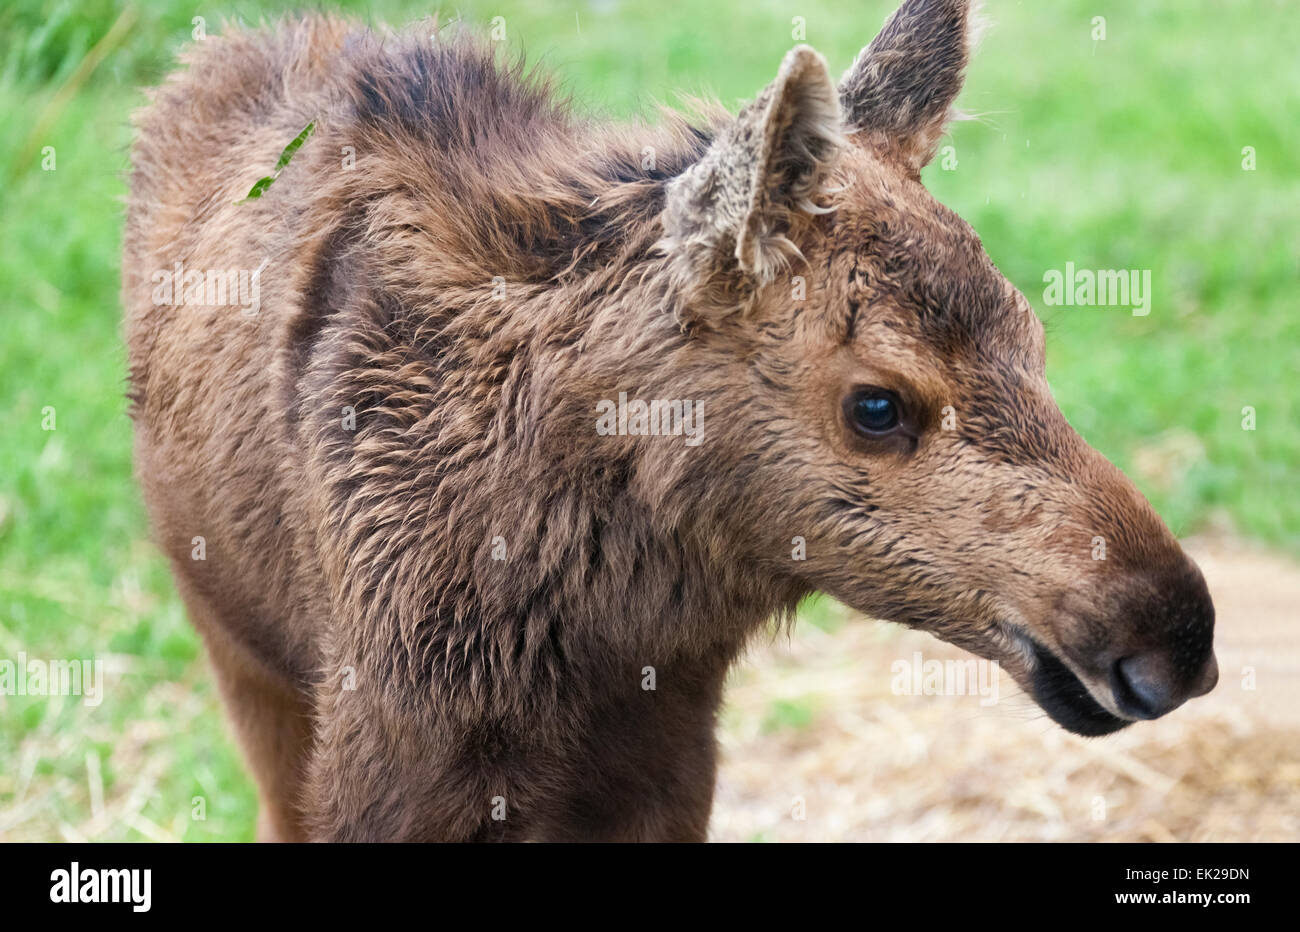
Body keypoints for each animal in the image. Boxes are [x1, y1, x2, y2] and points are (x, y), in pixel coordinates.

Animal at [121, 0, 1218, 841]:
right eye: (877, 404)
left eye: (1034, 338)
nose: (1174, 636)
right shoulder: (384, 757)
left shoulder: (670, 753)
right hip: (238, 649)